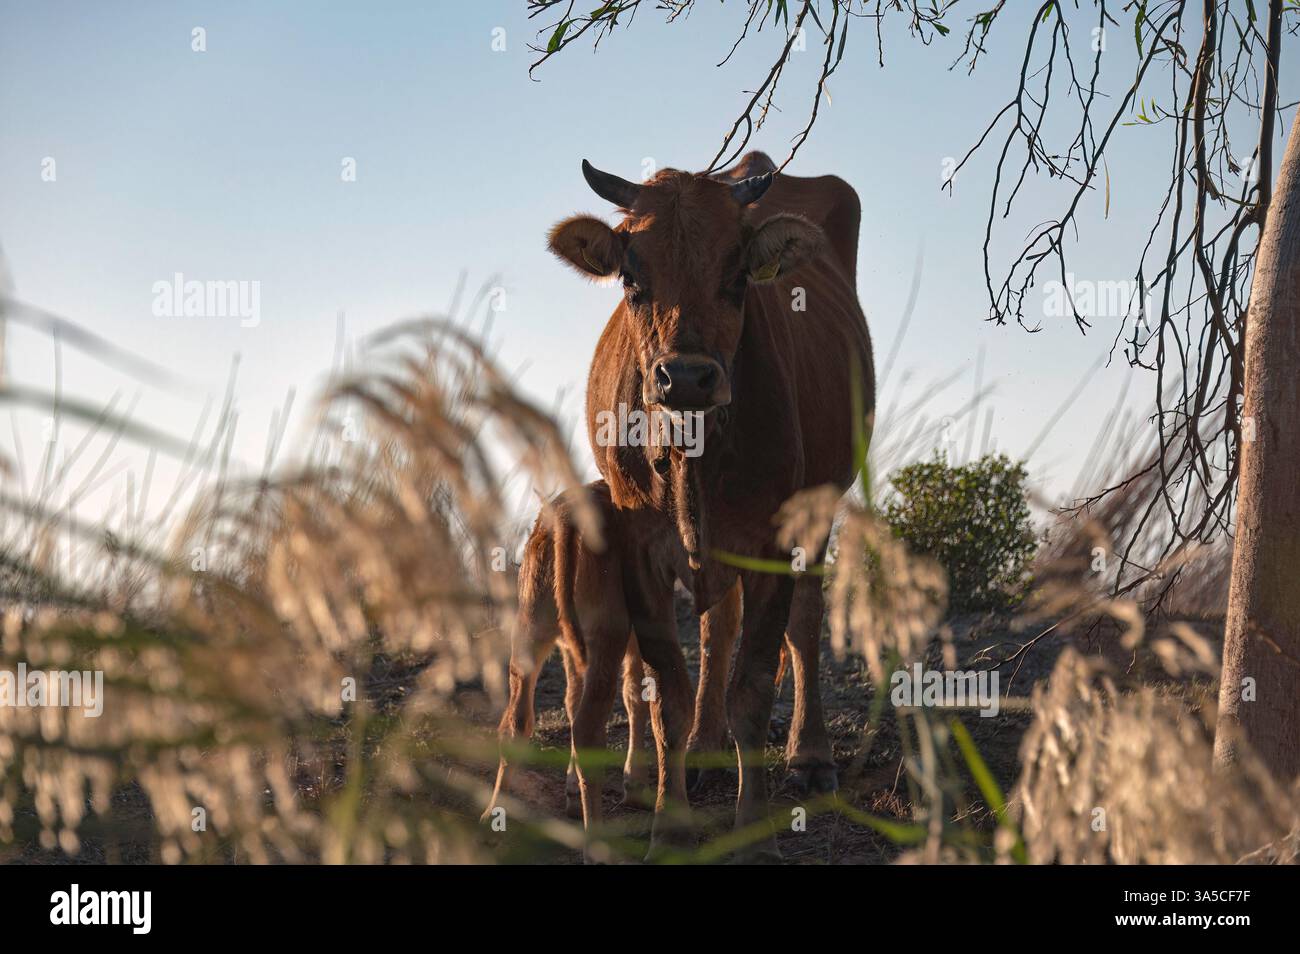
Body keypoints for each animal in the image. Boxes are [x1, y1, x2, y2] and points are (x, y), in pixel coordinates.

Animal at [548, 151, 874, 862]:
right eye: (631, 276)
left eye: (737, 273)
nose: (688, 378)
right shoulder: (638, 546)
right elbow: (668, 691)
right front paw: (670, 822)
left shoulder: (777, 538)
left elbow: (754, 684)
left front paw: (754, 830)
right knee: (716, 627)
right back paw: (703, 745)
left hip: (818, 510)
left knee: (803, 626)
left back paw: (809, 754)